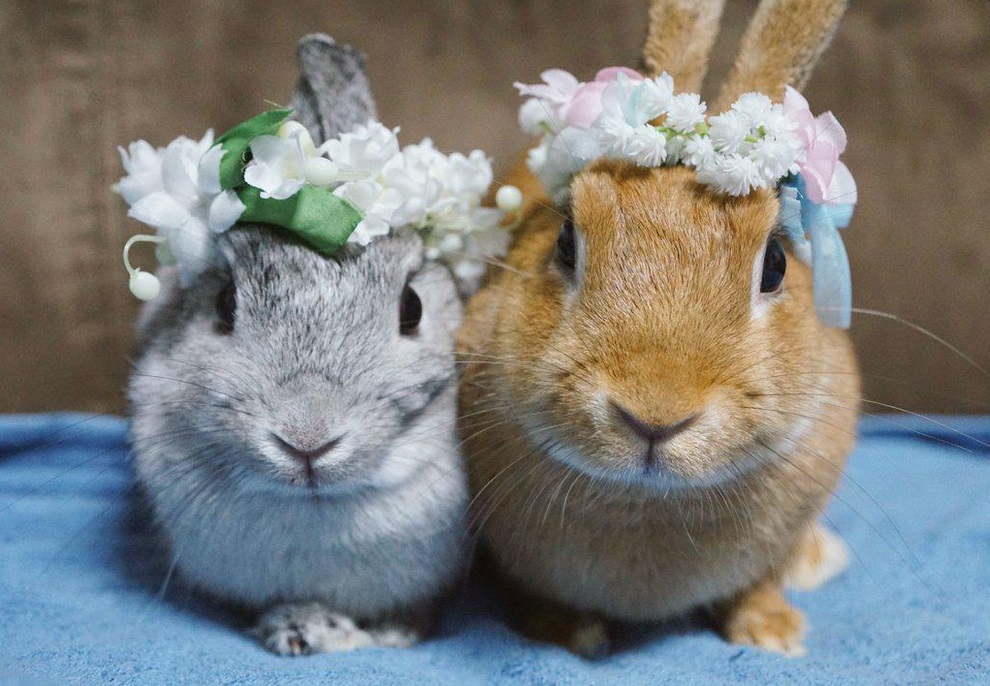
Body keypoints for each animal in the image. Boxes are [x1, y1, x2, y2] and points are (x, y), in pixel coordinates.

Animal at [458, 0, 858, 658]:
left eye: (775, 264)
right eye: (565, 242)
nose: (654, 415)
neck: (650, 500)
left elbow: (757, 584)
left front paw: (773, 634)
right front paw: (572, 636)